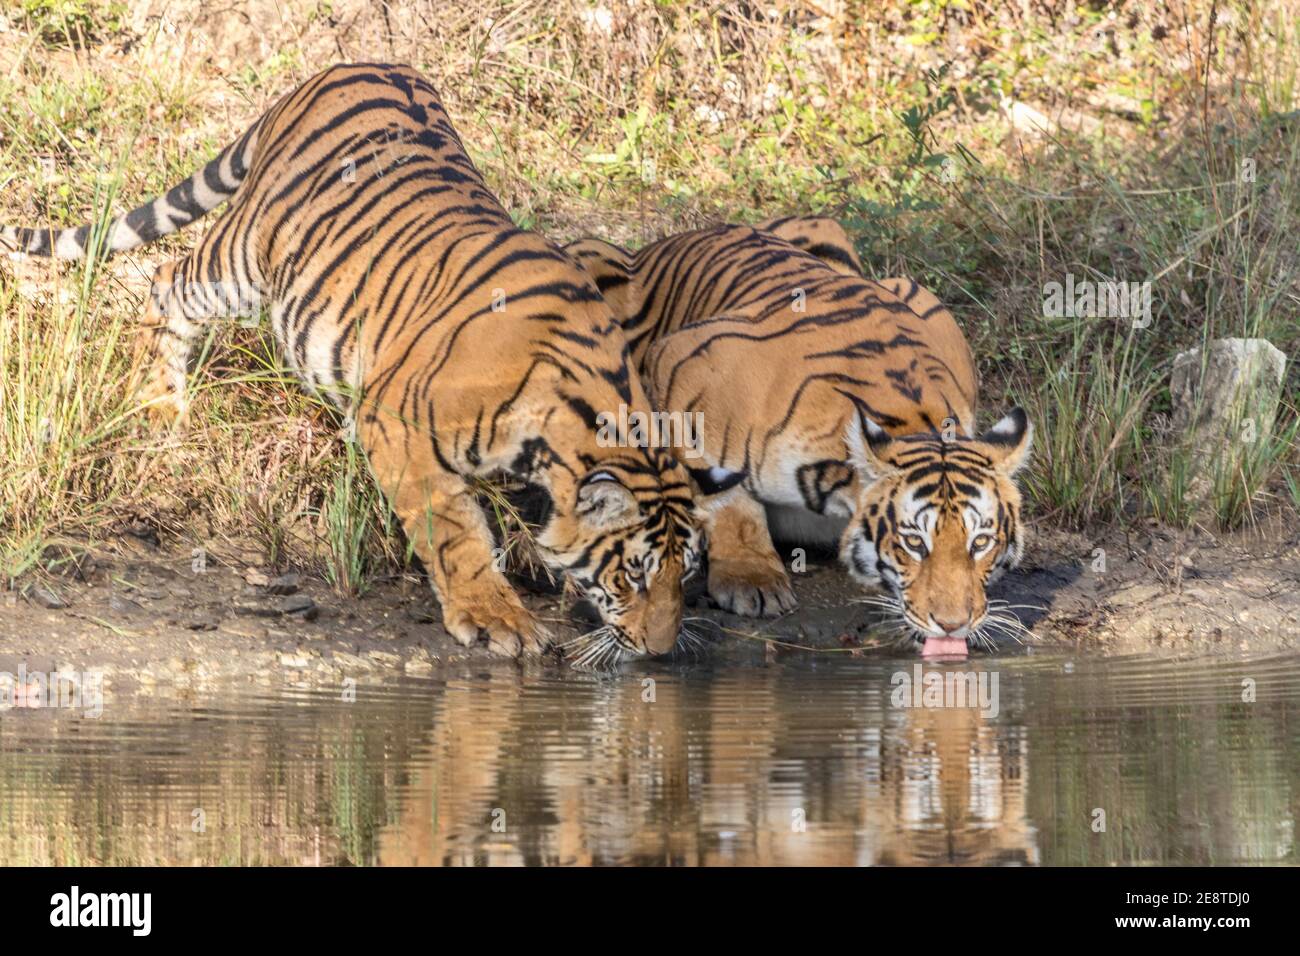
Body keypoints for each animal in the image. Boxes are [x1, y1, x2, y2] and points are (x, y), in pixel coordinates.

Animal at [1, 63, 702, 660]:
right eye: (632, 575)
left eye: (685, 575)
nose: (661, 652)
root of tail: (345, 66)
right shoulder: (397, 421)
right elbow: (454, 530)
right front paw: (494, 618)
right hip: (244, 258)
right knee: (167, 278)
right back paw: (158, 405)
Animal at [564, 220, 1032, 657]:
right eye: (914, 542)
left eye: (981, 541)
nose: (954, 624)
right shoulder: (685, 365)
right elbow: (726, 492)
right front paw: (750, 578)